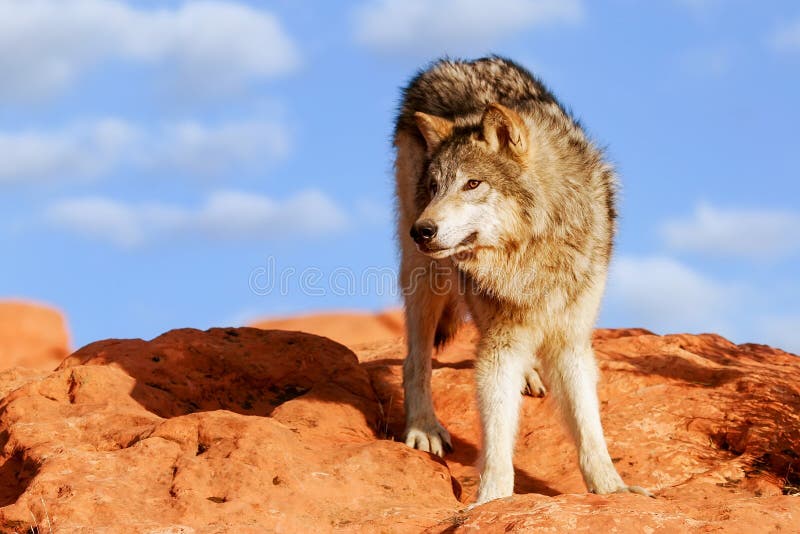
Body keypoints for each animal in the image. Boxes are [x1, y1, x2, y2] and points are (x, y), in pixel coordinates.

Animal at [394, 56, 650, 504]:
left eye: (472, 183)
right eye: (435, 186)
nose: (422, 231)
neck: (529, 254)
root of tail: (453, 63)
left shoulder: (570, 339)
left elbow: (589, 429)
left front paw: (612, 489)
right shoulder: (499, 345)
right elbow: (497, 438)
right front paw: (492, 500)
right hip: (427, 276)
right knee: (416, 359)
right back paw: (424, 426)